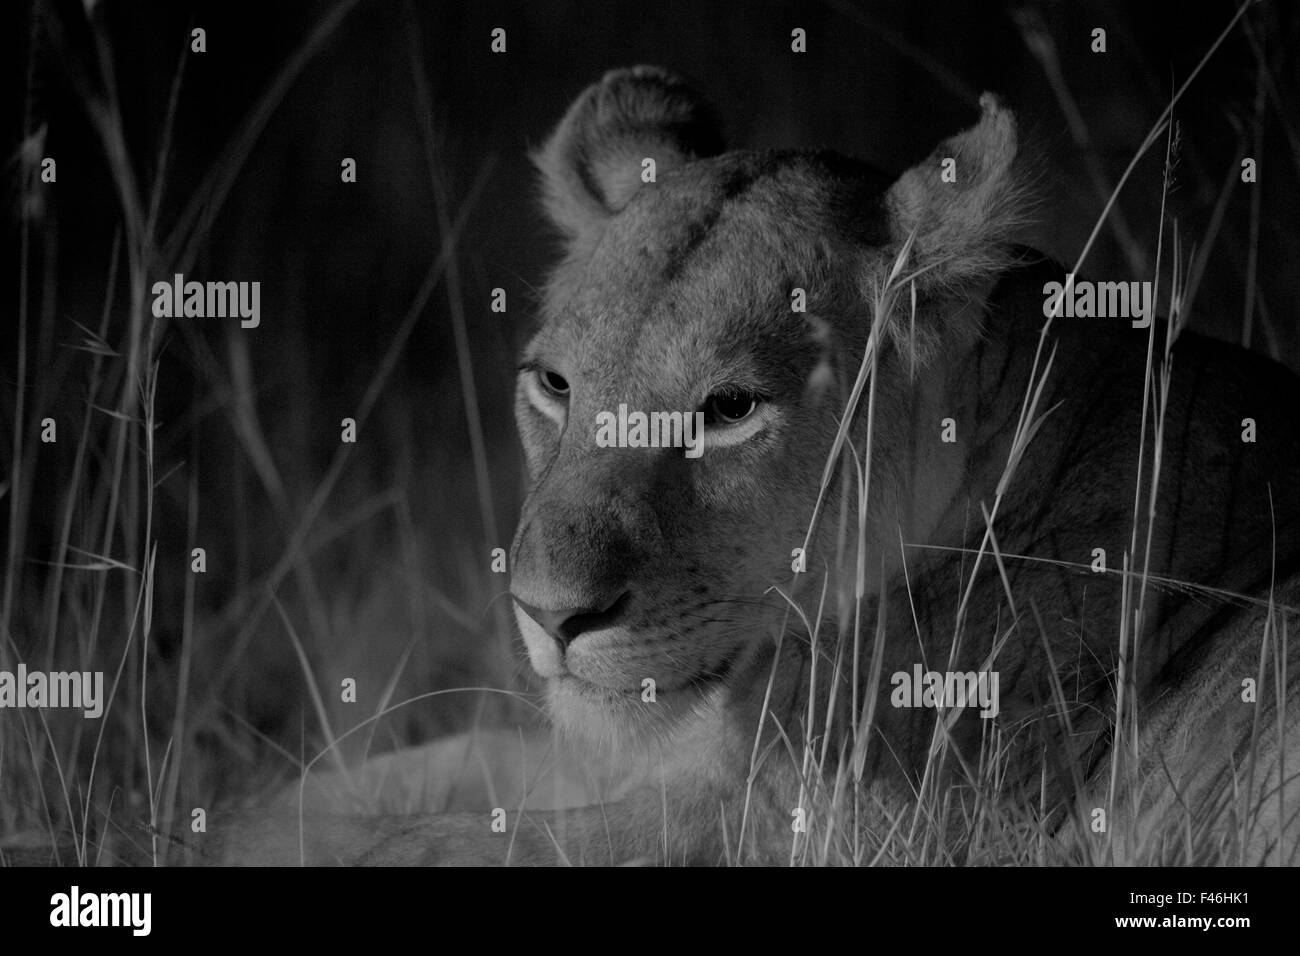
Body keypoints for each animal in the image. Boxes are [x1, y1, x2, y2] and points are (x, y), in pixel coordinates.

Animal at [200, 66, 1300, 866]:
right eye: (553, 383)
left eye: (731, 411)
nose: (550, 616)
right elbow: (417, 772)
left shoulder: (833, 828)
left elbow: (427, 842)